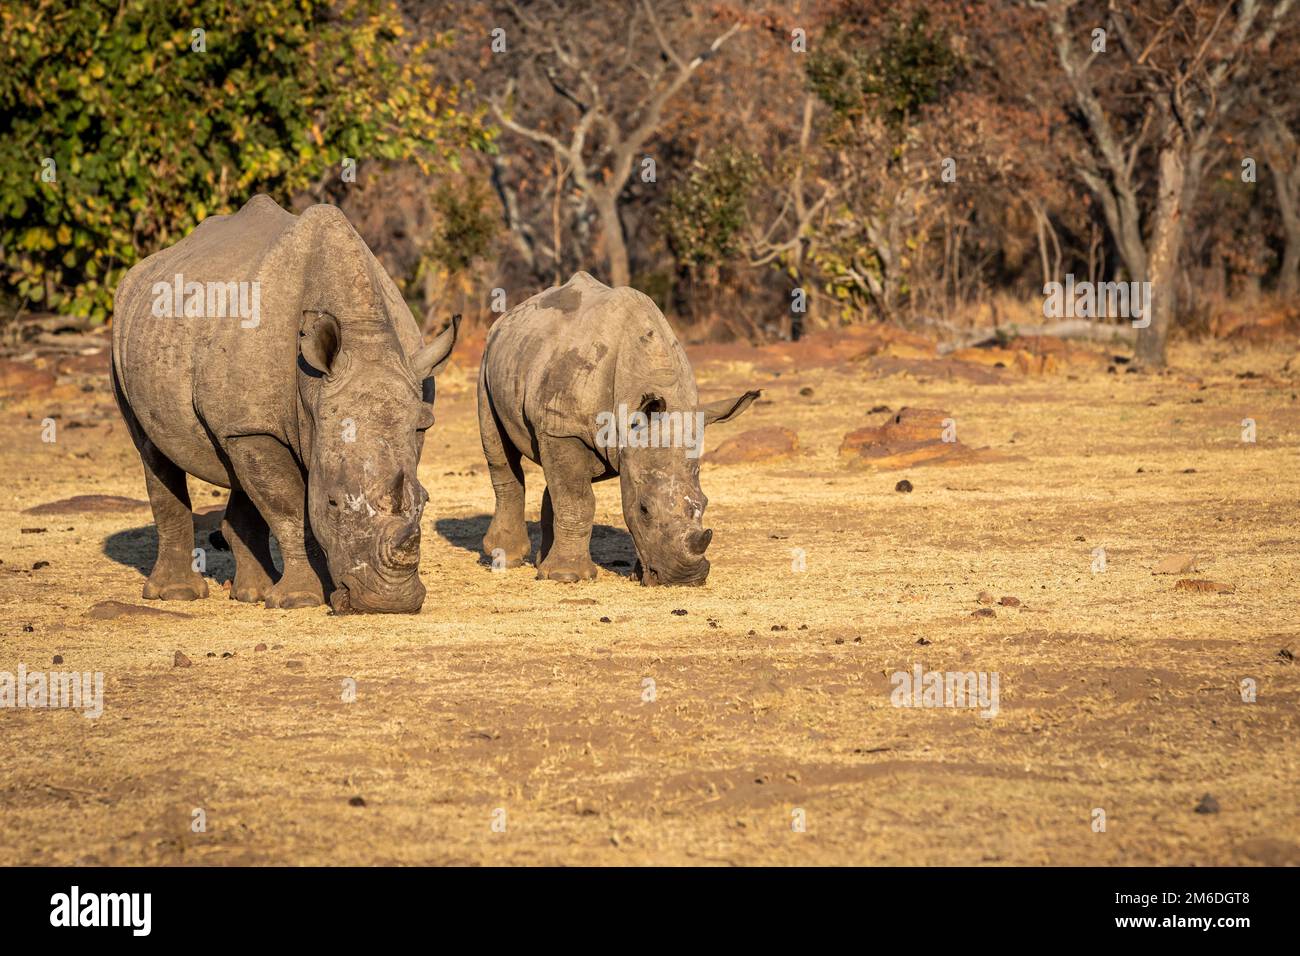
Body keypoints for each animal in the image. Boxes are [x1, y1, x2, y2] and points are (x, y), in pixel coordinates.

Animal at [111, 194, 459, 613]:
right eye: (333, 503)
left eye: (426, 501)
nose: (389, 602)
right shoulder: (254, 426)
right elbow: (291, 511)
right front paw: (301, 600)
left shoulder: (412, 416)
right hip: (124, 327)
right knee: (152, 450)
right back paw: (178, 594)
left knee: (237, 468)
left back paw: (251, 594)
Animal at [478, 272, 759, 585]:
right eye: (644, 509)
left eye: (706, 503)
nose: (684, 579)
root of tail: (510, 315)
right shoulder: (565, 428)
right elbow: (579, 500)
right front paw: (567, 577)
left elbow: (577, 492)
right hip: (488, 359)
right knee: (501, 452)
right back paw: (506, 558)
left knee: (557, 474)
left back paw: (542, 563)